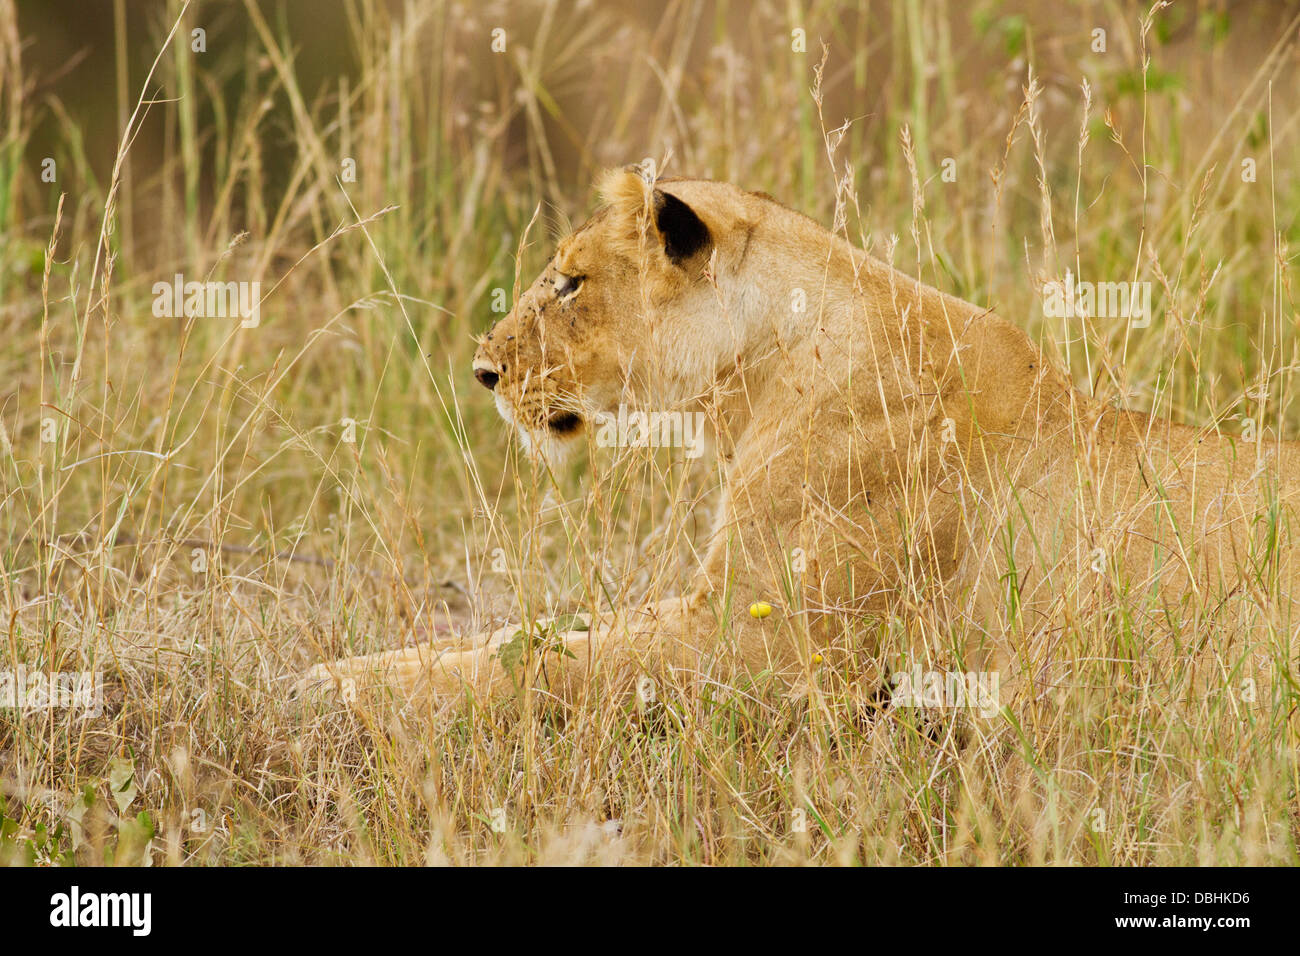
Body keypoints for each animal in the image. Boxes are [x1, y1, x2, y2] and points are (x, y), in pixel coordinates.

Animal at [298, 167, 1300, 716]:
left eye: (572, 283)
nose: (482, 371)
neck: (751, 384)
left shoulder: (760, 647)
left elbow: (541, 666)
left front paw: (335, 691)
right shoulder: (717, 605)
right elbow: (528, 634)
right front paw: (339, 670)